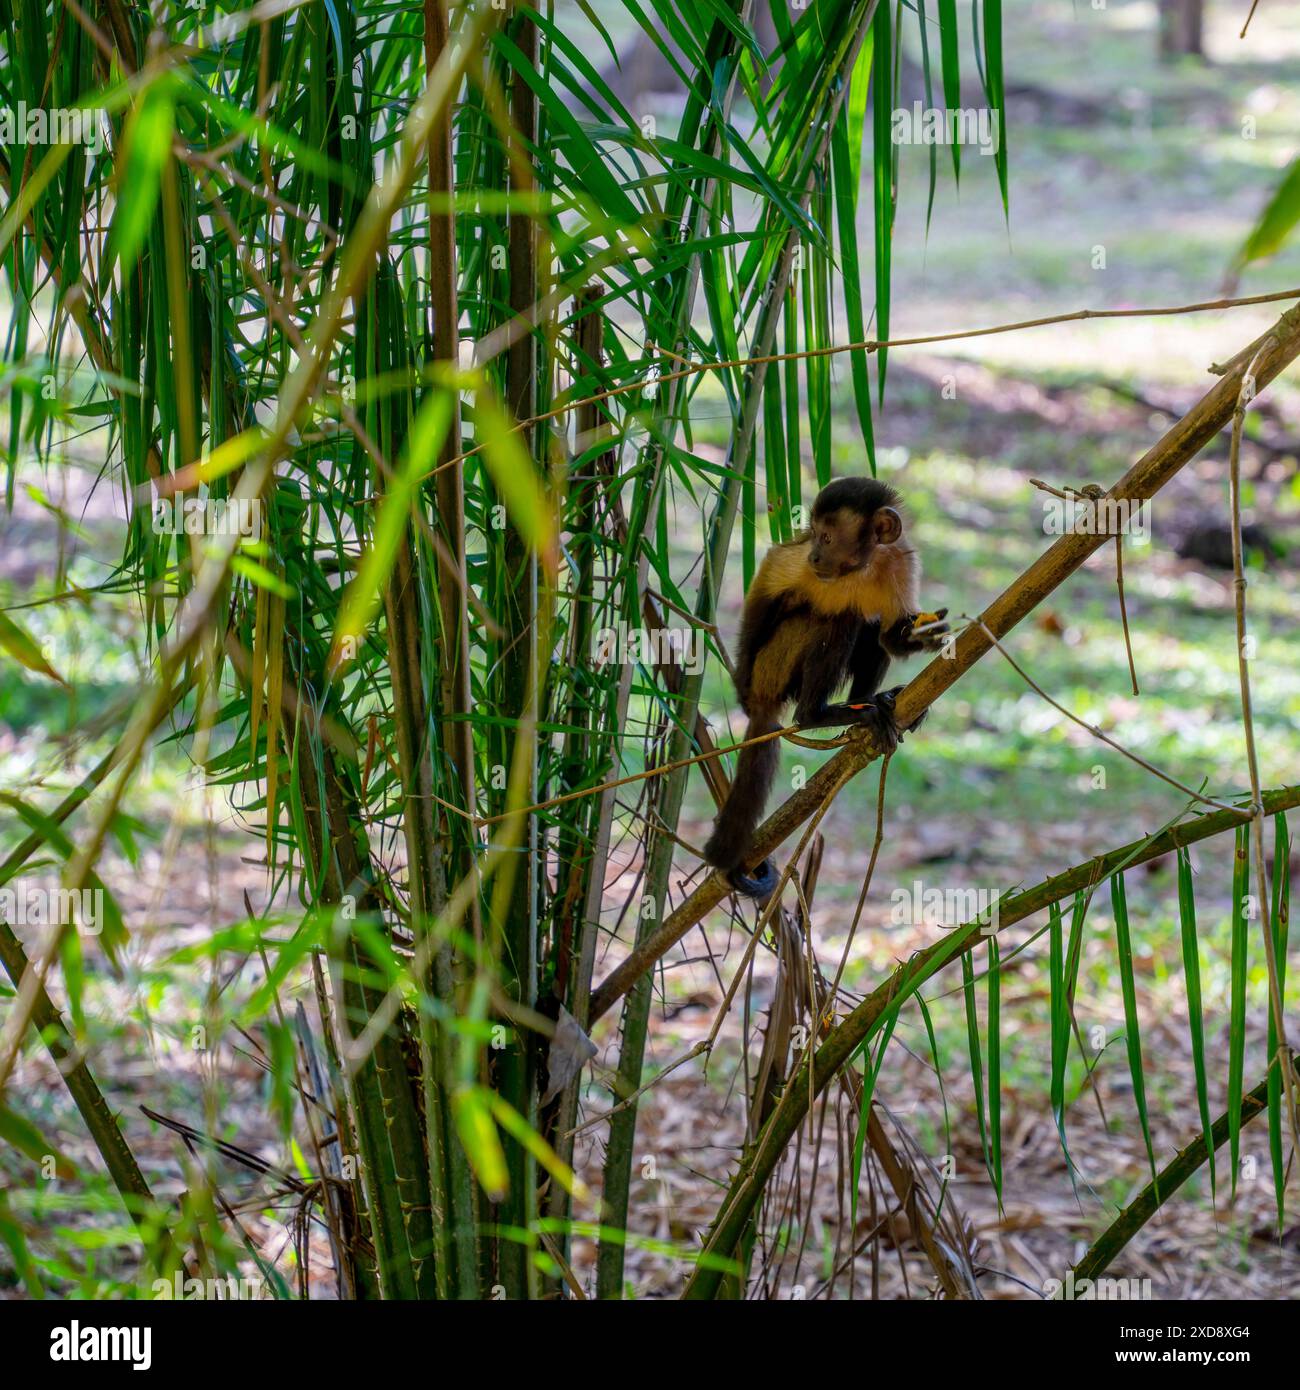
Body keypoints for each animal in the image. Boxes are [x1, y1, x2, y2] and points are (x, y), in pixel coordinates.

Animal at [703, 477, 949, 901]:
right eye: (815, 534)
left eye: (829, 537)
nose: (817, 554)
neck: (861, 567)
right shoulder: (797, 565)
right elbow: (766, 587)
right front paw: (740, 689)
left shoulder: (900, 561)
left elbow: (891, 637)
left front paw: (922, 636)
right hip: (775, 665)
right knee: (836, 619)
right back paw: (814, 713)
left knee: (868, 622)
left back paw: (869, 704)